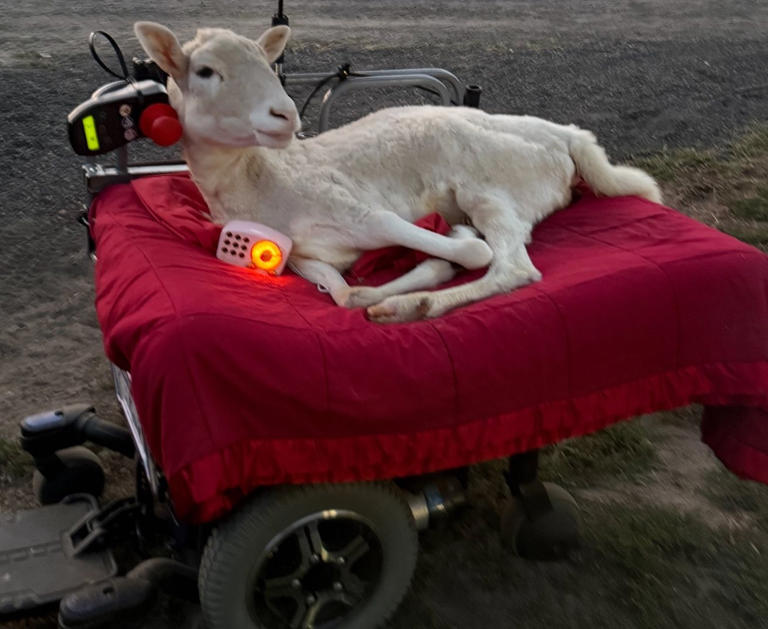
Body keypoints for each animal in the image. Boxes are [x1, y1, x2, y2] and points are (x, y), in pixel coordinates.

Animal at [134, 22, 661, 323]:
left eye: (269, 65)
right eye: (205, 72)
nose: (284, 115)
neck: (260, 182)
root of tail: (567, 135)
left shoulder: (364, 212)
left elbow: (466, 250)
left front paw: (443, 258)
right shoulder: (300, 256)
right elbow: (346, 294)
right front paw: (408, 277)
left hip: (493, 189)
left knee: (514, 267)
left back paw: (420, 305)